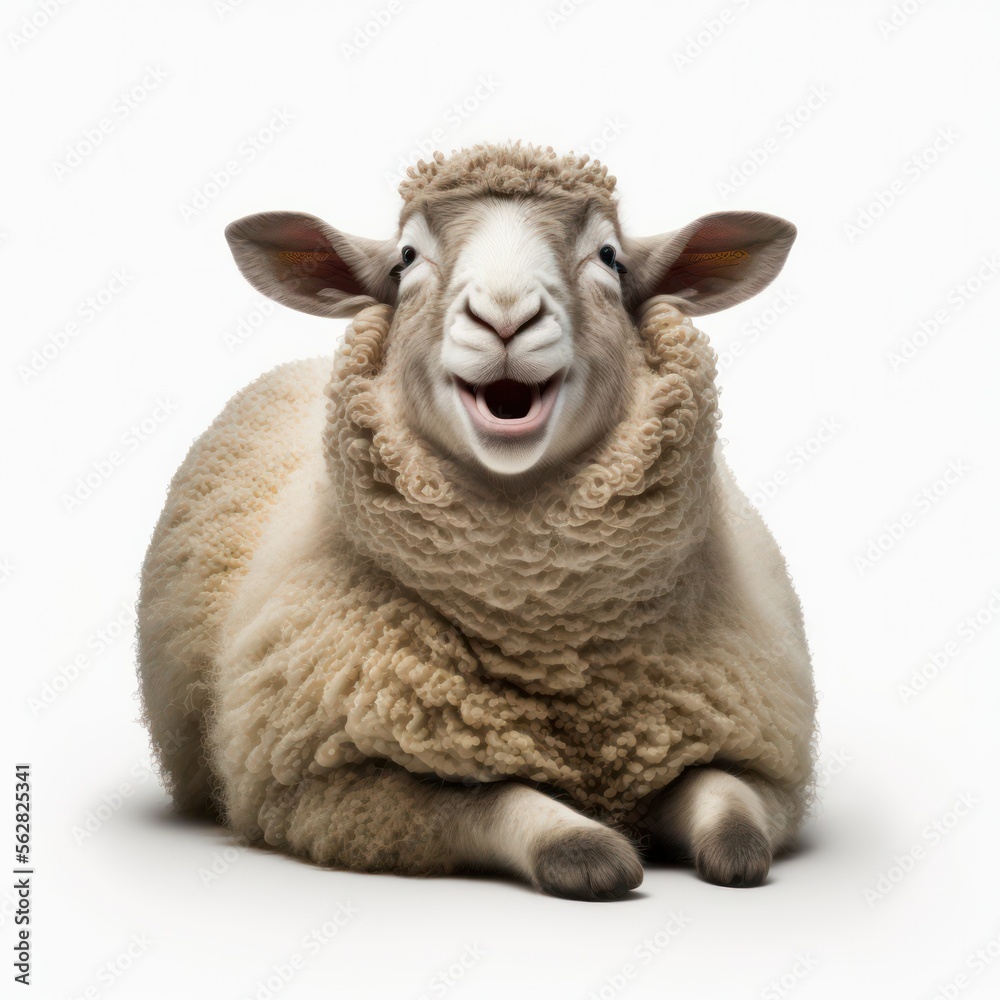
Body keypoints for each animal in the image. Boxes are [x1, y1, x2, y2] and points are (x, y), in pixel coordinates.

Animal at [137, 142, 816, 900]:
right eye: (406, 258)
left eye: (610, 257)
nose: (505, 315)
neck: (546, 634)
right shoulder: (332, 788)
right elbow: (498, 803)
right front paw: (590, 852)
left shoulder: (754, 758)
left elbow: (735, 822)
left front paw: (729, 855)